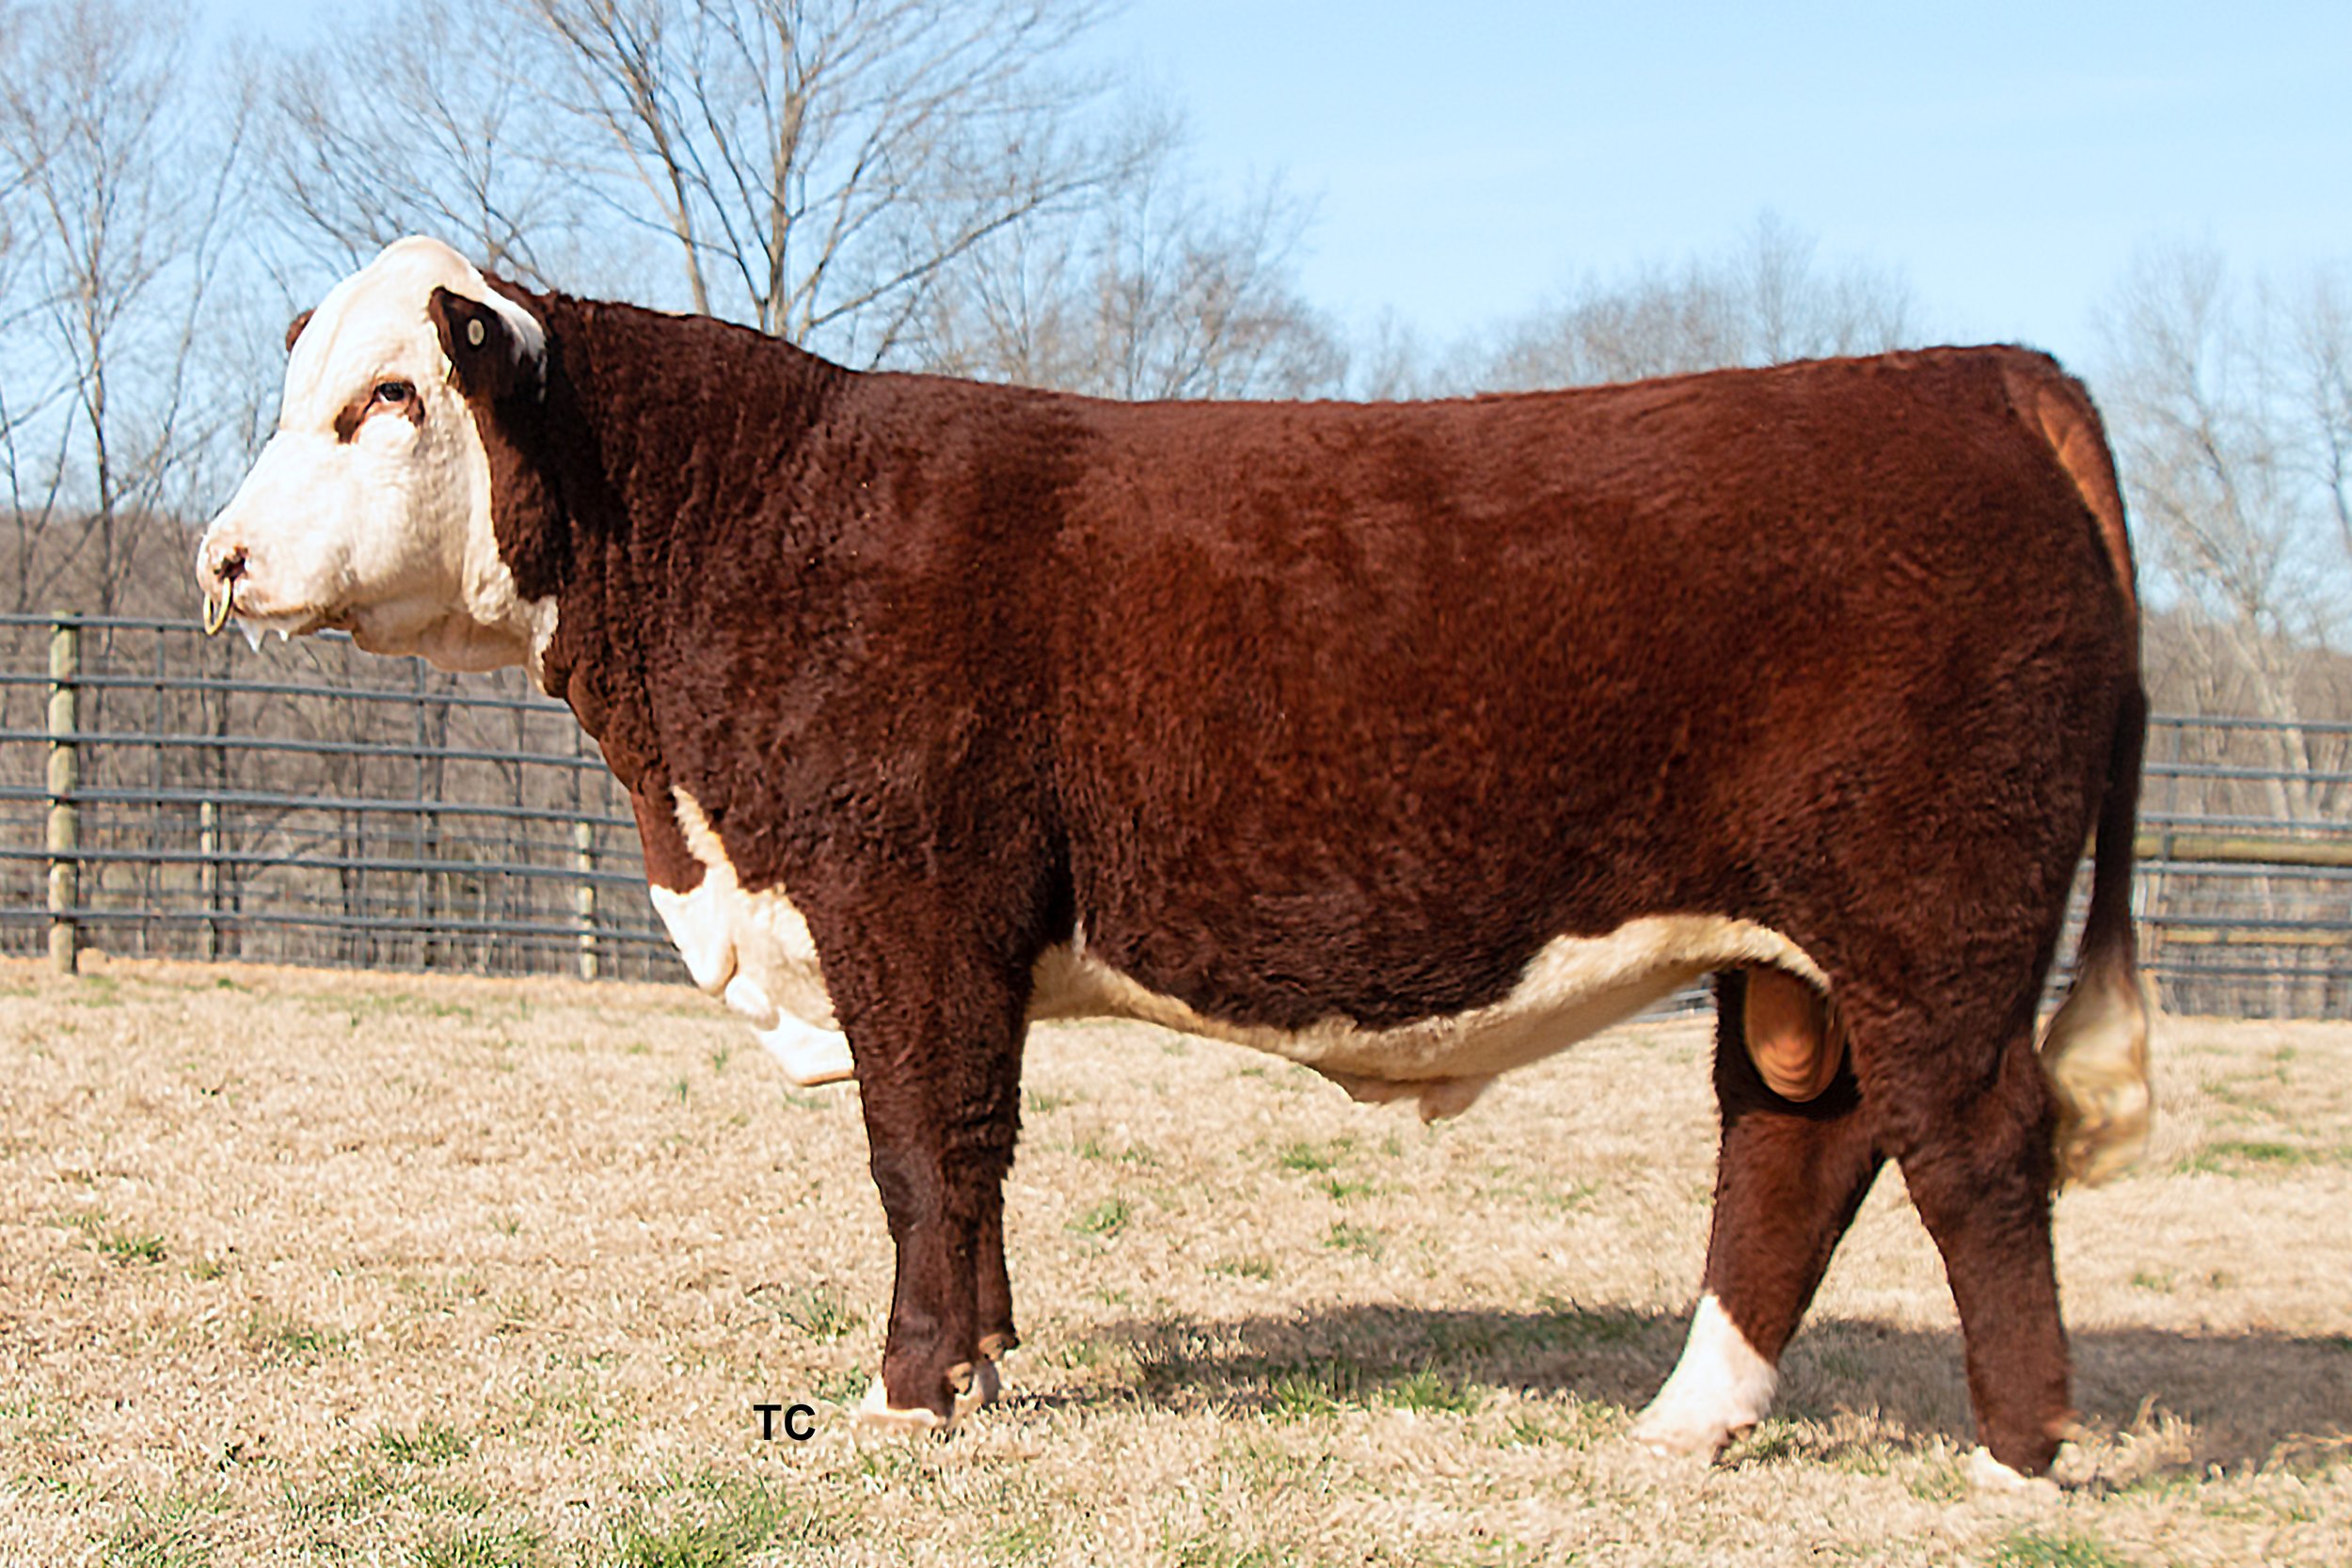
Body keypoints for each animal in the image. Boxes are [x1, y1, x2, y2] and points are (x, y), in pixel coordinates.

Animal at [197, 237, 2152, 1484]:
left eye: (389, 397)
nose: (218, 557)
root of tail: (1977, 375)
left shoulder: (907, 893)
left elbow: (919, 1146)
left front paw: (909, 1391)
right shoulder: (963, 934)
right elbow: (977, 1150)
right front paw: (984, 1358)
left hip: (1931, 918)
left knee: (1977, 1148)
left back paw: (2021, 1454)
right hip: (1795, 959)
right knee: (1796, 1154)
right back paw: (1691, 1422)